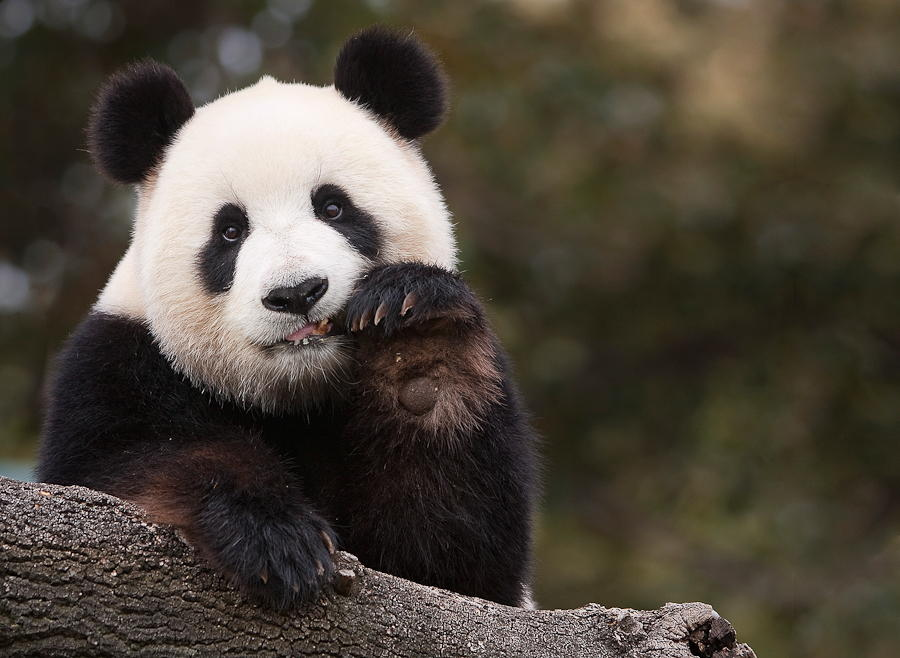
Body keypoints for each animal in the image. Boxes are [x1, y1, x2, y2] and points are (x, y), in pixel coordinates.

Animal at [37, 26, 538, 610]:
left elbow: (454, 552)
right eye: (230, 231)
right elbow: (131, 464)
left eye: (333, 207)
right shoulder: (115, 364)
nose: (297, 293)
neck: (297, 392)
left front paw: (414, 341)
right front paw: (274, 539)